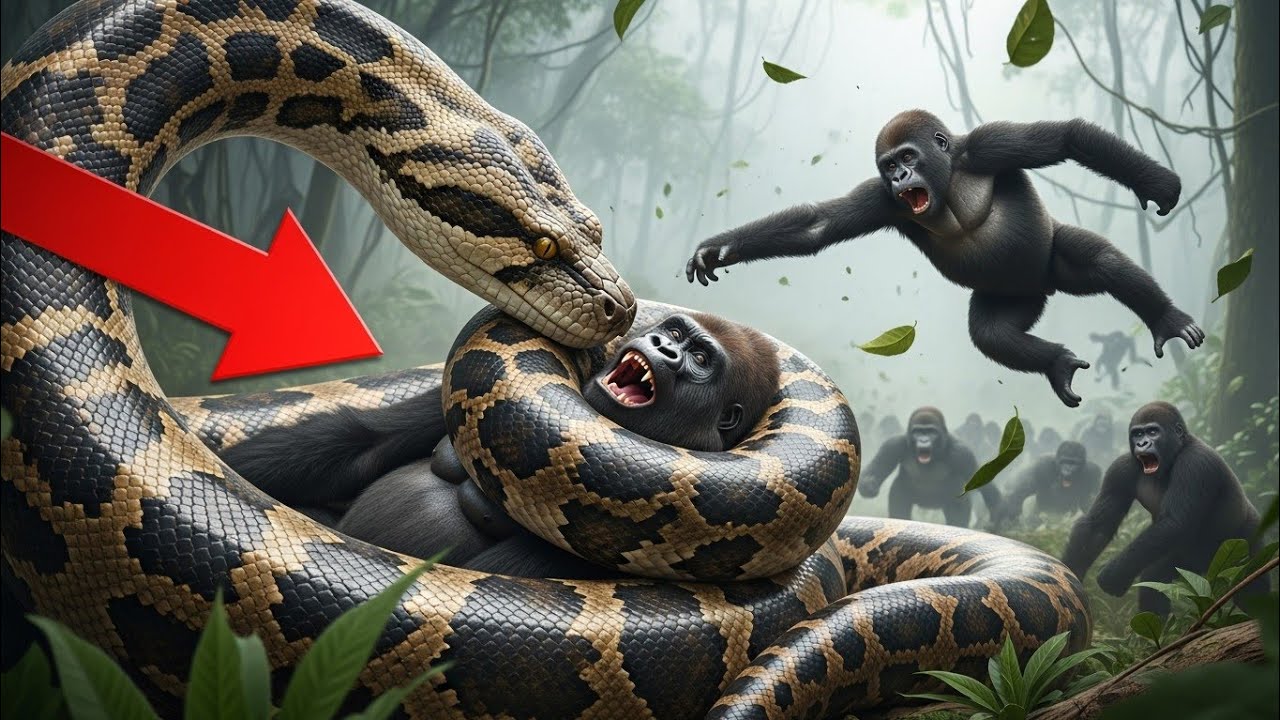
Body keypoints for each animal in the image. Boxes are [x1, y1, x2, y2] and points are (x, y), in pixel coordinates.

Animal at [685, 110, 1203, 407]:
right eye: (889, 166)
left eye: (908, 157)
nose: (900, 177)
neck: (949, 173)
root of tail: (1044, 288)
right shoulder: (882, 198)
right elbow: (816, 226)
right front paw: (720, 248)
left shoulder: (989, 144)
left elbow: (1067, 138)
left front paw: (1156, 183)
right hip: (1014, 296)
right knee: (993, 334)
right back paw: (1055, 363)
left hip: (1054, 262)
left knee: (1100, 263)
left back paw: (1164, 317)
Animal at [858, 407, 1000, 527]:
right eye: (917, 432)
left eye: (932, 432)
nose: (924, 440)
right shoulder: (892, 445)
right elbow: (875, 471)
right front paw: (869, 484)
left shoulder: (963, 454)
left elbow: (985, 485)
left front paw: (997, 516)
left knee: (957, 518)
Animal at [1062, 402, 1265, 615]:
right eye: (1137, 434)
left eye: (1153, 432)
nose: (1142, 444)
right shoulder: (1121, 468)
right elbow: (1098, 526)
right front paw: (1070, 573)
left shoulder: (1195, 463)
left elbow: (1174, 523)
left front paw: (1114, 574)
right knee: (1154, 577)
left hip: (1245, 540)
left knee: (1252, 591)